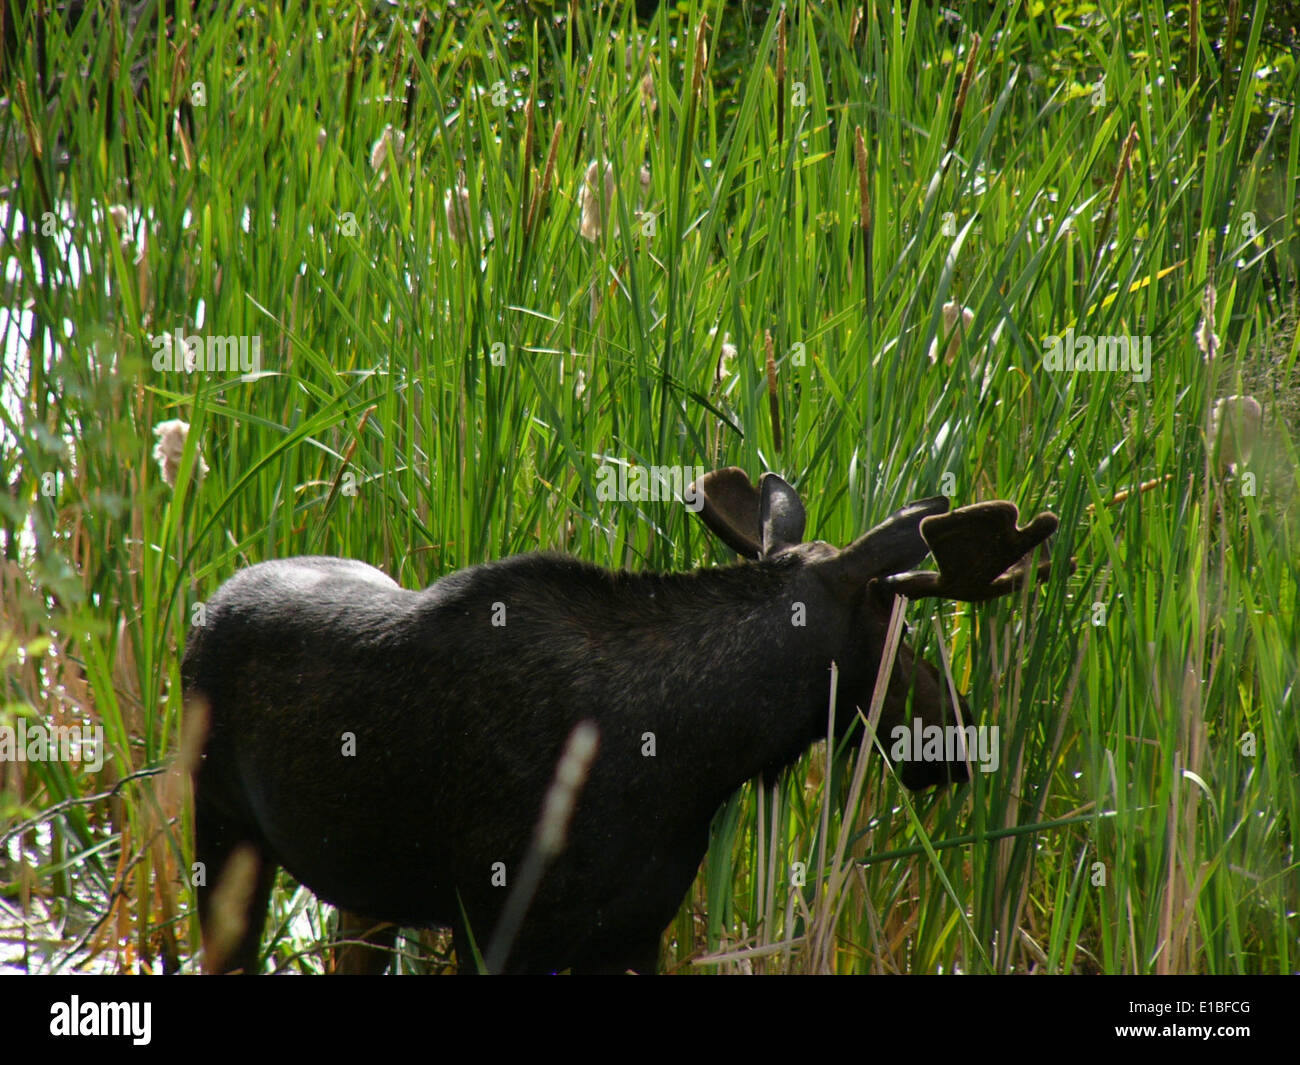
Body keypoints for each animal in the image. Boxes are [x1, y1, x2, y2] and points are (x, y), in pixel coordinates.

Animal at [184, 467, 1065, 973]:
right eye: (896, 628)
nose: (959, 734)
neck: (693, 756)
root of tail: (204, 606)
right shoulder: (495, 925)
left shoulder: (637, 929)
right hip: (223, 834)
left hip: (365, 888)